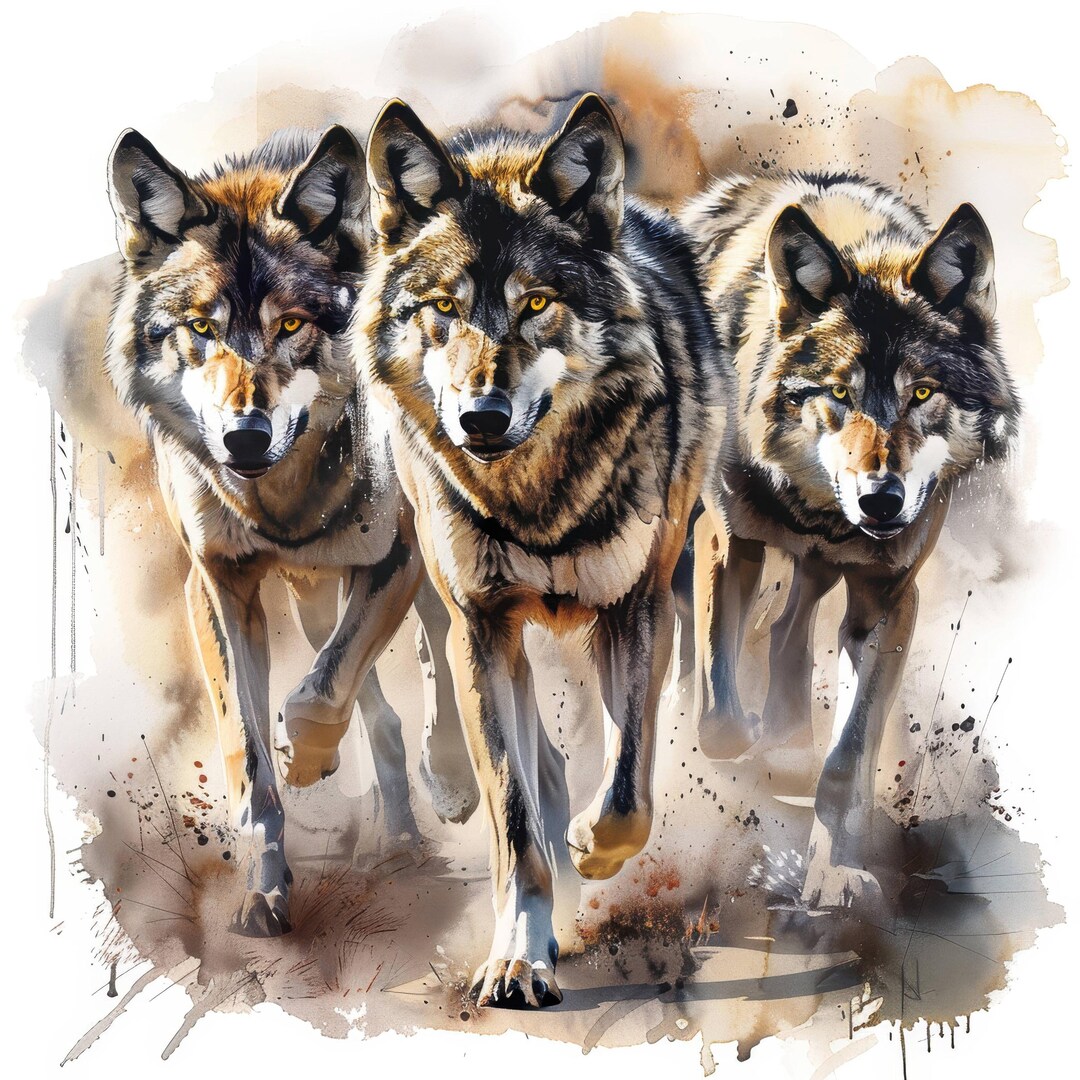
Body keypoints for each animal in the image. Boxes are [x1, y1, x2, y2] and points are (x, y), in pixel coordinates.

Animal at [105, 126, 478, 936]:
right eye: (202, 327)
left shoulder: (395, 561)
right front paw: (264, 891)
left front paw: (308, 760)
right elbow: (250, 758)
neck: (280, 507)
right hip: (310, 603)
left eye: (291, 325)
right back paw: (398, 835)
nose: (244, 437)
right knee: (380, 714)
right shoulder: (216, 590)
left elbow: (317, 697)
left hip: (419, 568)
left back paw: (448, 785)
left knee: (428, 661)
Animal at [354, 94, 718, 1005]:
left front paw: (592, 847)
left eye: (537, 304)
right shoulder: (481, 628)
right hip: (460, 606)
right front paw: (520, 956)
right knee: (496, 729)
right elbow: (514, 823)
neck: (535, 503)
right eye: (443, 308)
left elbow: (627, 786)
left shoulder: (636, 610)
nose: (480, 418)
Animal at [682, 173, 1019, 908]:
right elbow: (719, 714)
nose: (881, 500)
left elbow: (846, 757)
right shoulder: (727, 544)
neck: (818, 514)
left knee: (789, 633)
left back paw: (791, 748)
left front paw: (833, 868)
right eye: (839, 393)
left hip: (824, 578)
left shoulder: (887, 601)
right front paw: (737, 746)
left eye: (922, 392)